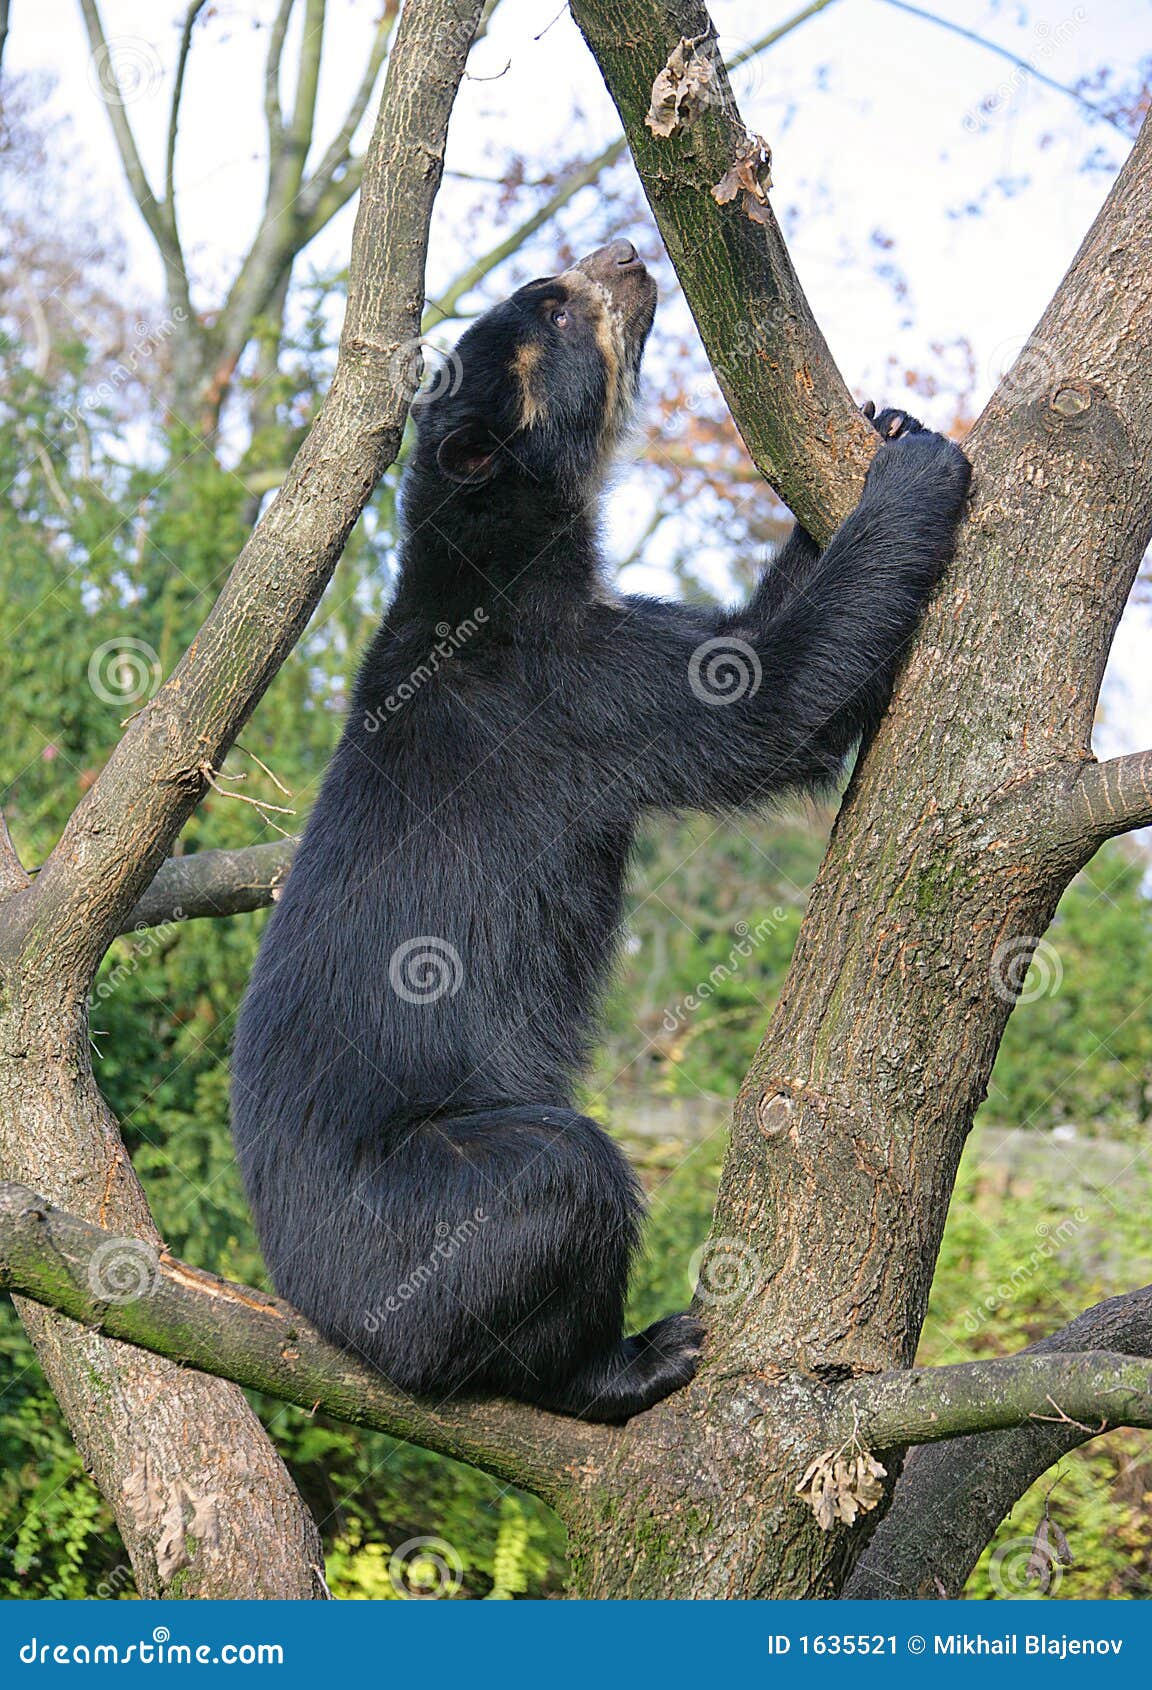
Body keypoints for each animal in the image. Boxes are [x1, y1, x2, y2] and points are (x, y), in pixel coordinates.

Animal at [230, 238, 971, 1422]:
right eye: (552, 307)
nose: (626, 249)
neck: (497, 566)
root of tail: (317, 1315)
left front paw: (885, 421)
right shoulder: (571, 692)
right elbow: (764, 695)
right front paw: (921, 465)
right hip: (413, 1218)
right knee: (559, 1180)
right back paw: (642, 1355)